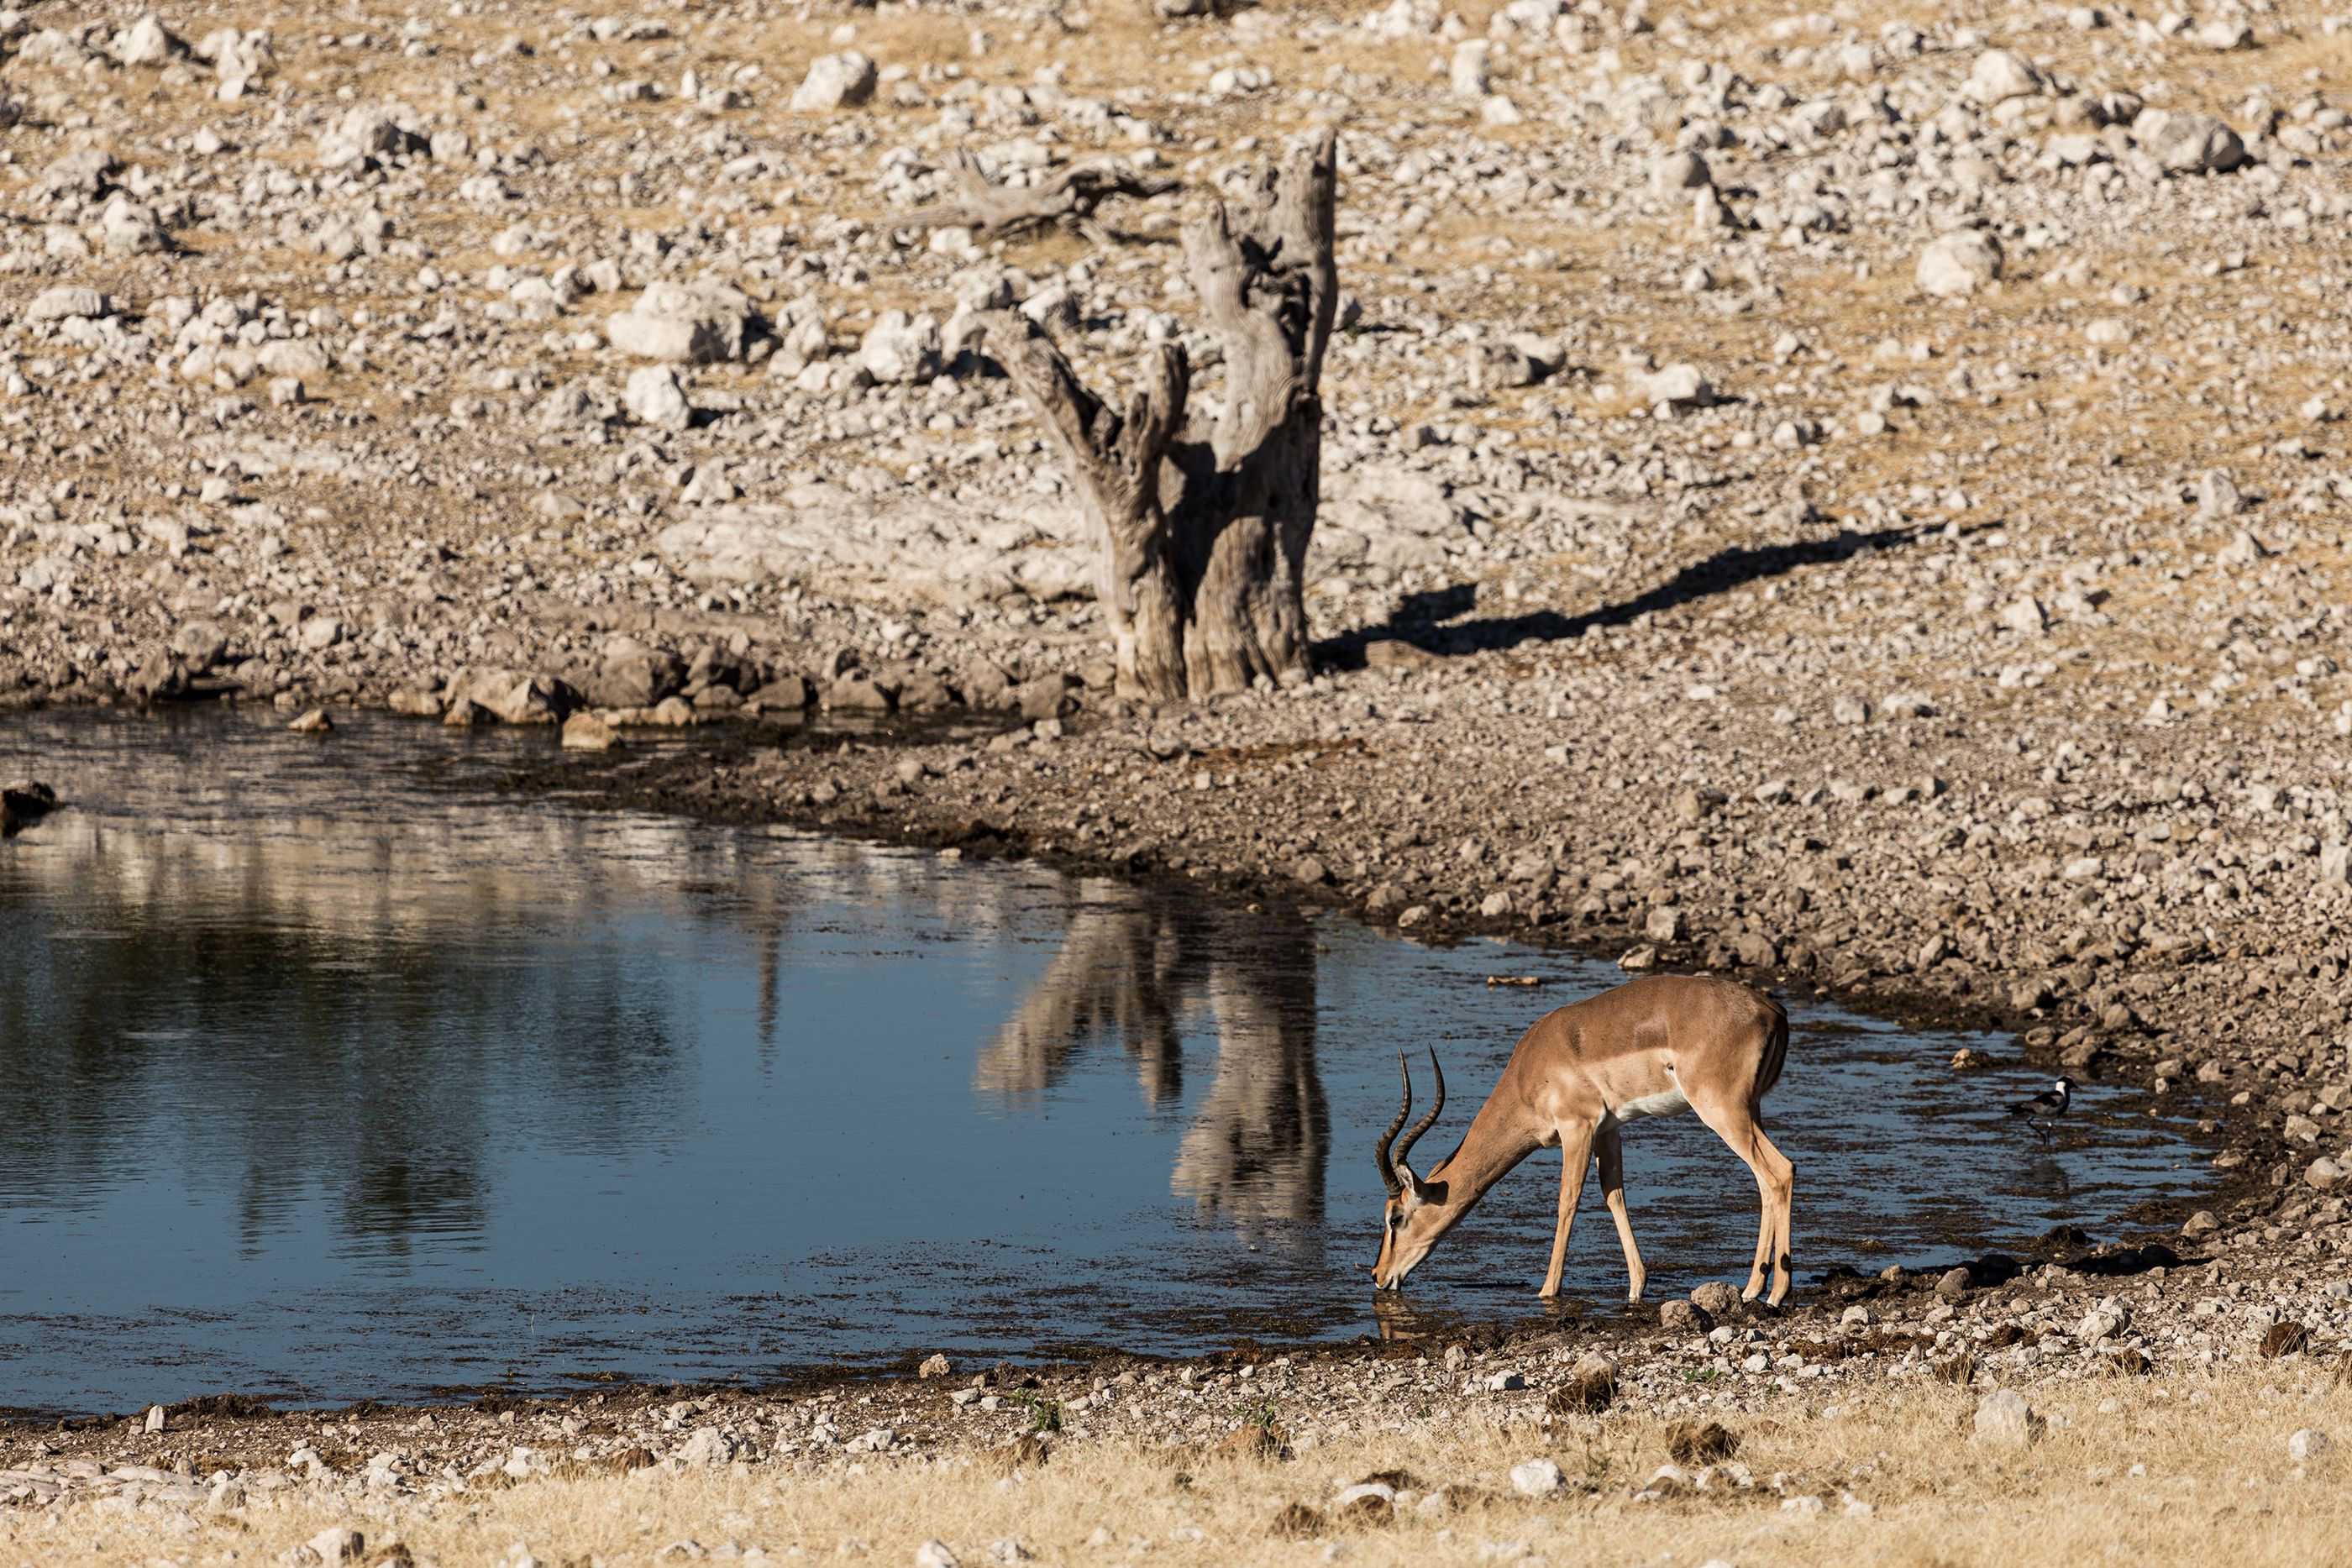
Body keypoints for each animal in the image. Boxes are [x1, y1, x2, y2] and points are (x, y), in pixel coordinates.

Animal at [1371, 973, 1795, 1305]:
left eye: (1395, 1217)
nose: (1378, 1275)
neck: (1530, 1070)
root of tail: (1772, 1011)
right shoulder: (1607, 1129)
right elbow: (1614, 1194)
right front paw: (1637, 1286)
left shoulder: (1577, 1128)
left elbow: (1567, 1200)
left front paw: (1547, 1290)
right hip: (1749, 1110)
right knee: (1765, 1181)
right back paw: (1753, 1289)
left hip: (1721, 1110)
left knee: (1780, 1172)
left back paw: (1776, 1293)